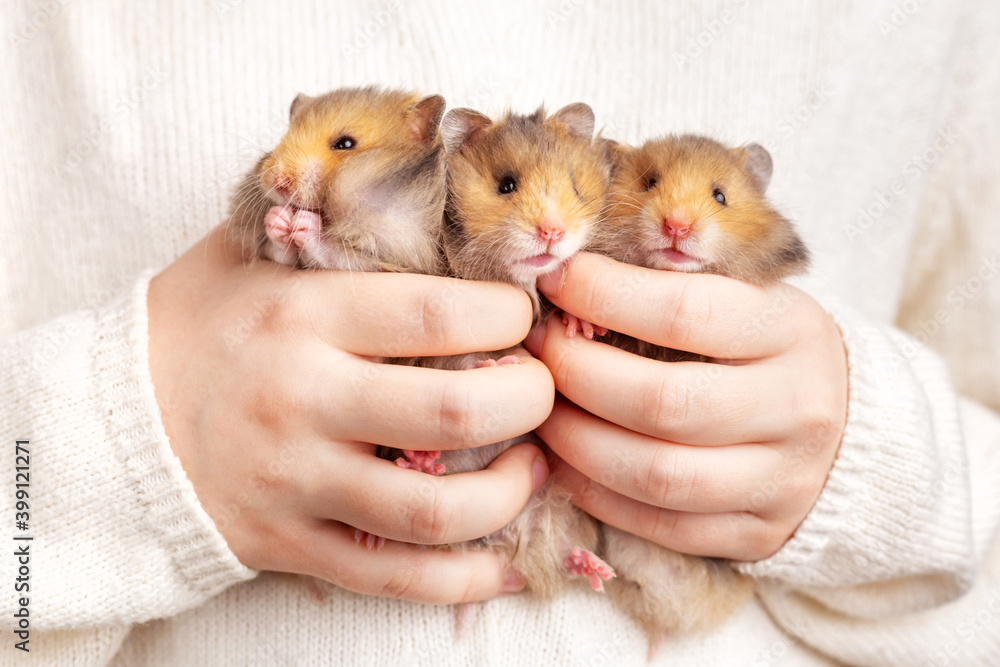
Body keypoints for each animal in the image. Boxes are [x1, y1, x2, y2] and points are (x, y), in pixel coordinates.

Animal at [228, 86, 447, 276]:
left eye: (346, 143)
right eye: (283, 138)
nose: (278, 182)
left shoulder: (402, 255)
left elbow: (336, 255)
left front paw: (303, 222)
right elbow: (281, 254)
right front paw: (278, 217)